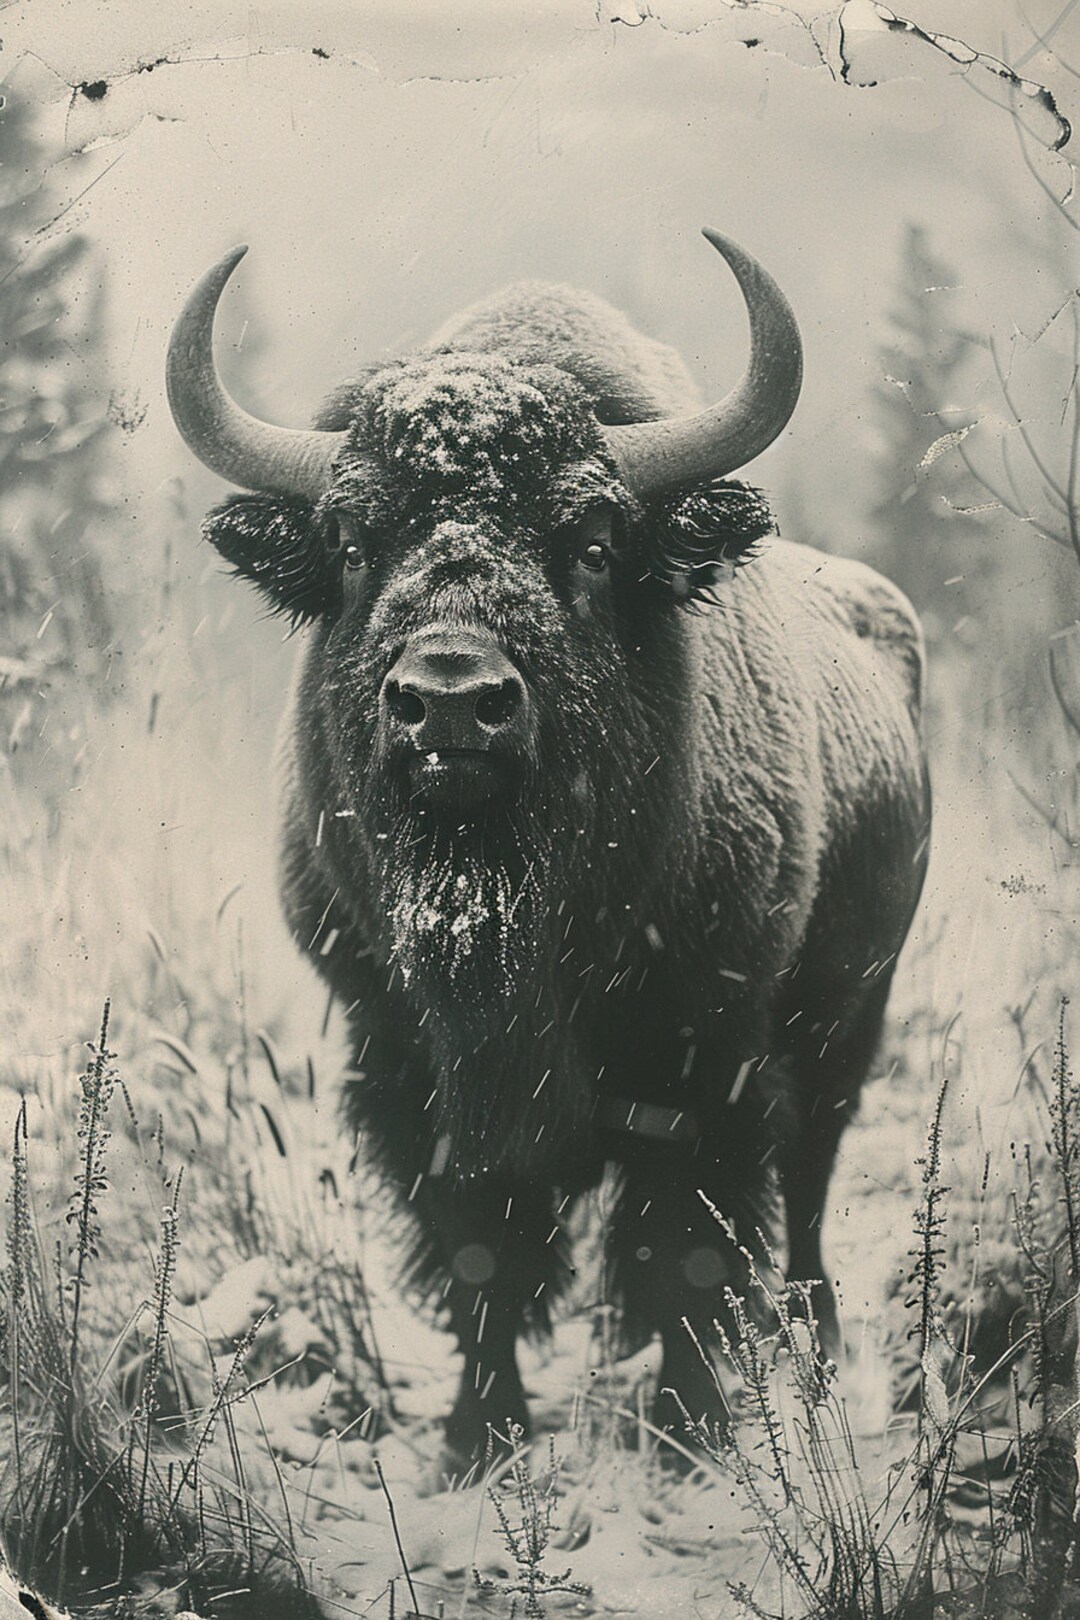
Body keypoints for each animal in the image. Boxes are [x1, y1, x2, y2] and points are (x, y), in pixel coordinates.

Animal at [167, 231, 929, 1466]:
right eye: (351, 540)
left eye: (592, 541)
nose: (450, 703)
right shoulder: (409, 1061)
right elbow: (483, 1249)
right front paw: (483, 1437)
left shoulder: (704, 1057)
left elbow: (685, 1245)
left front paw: (686, 1433)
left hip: (848, 1015)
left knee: (809, 1175)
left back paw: (810, 1338)